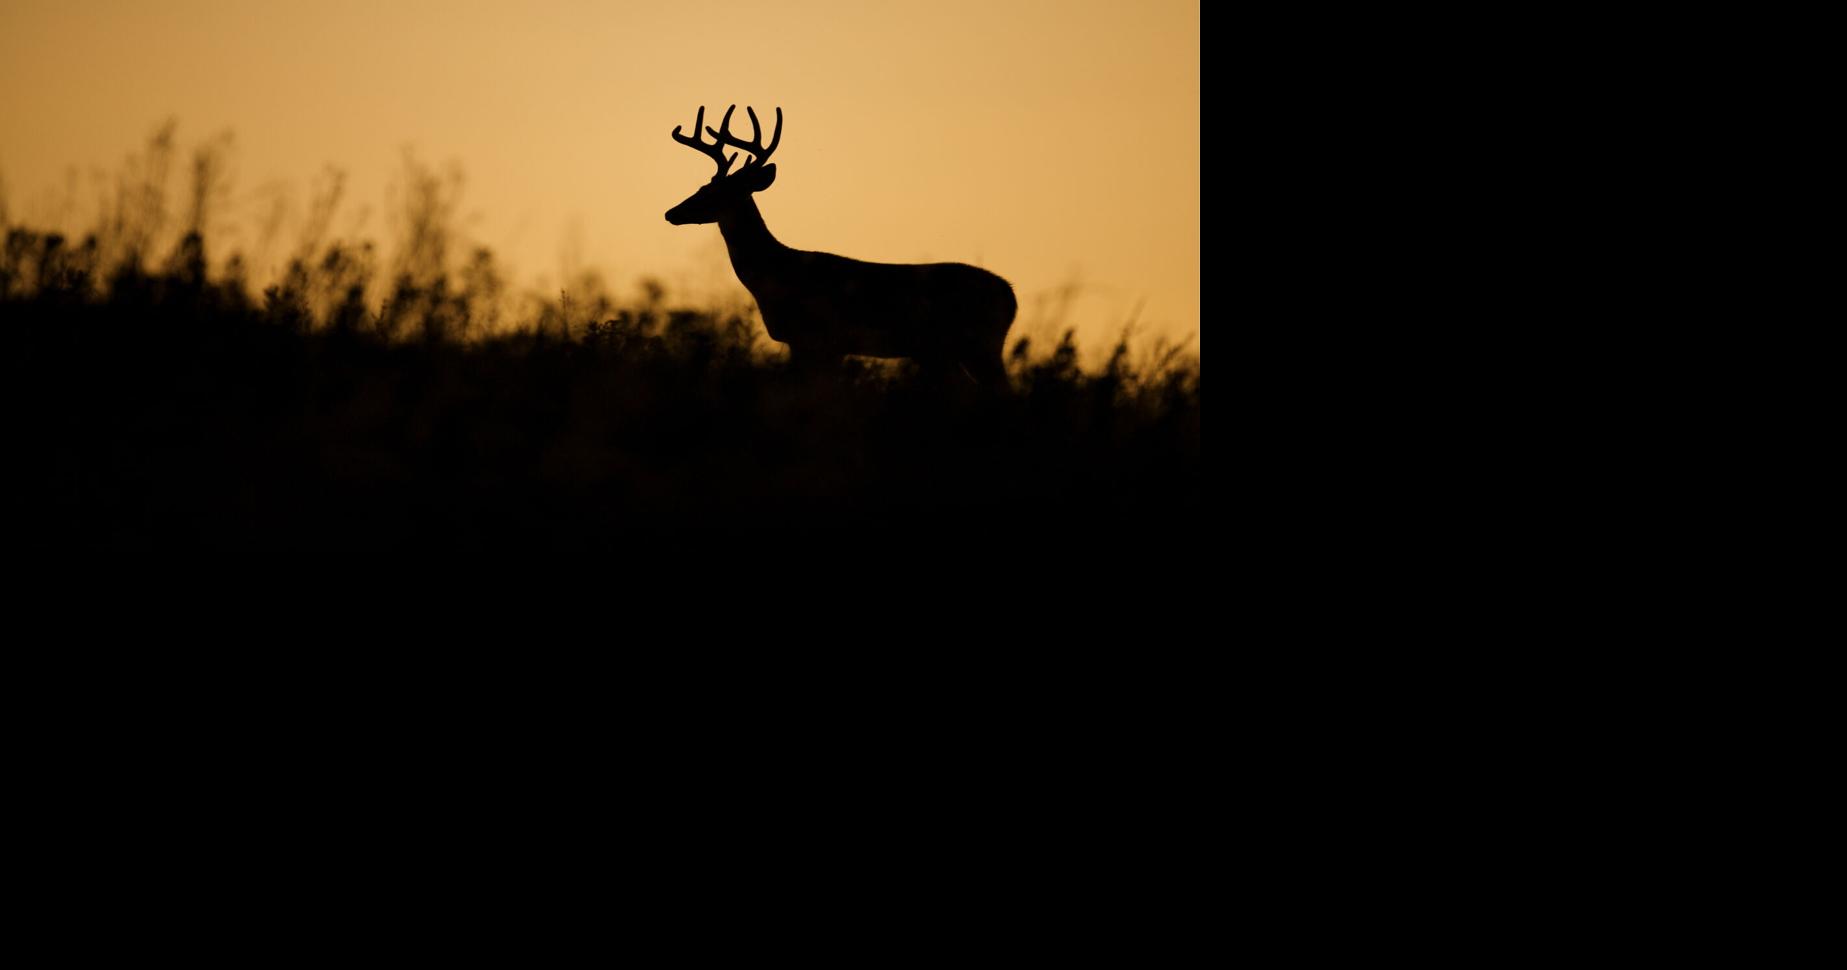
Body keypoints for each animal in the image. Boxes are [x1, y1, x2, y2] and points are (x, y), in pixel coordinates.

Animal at [665, 105, 1016, 388]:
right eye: (704, 185)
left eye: (711, 191)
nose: (671, 212)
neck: (777, 274)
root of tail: (1010, 296)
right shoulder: (815, 345)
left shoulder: (817, 339)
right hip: (942, 351)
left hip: (978, 344)